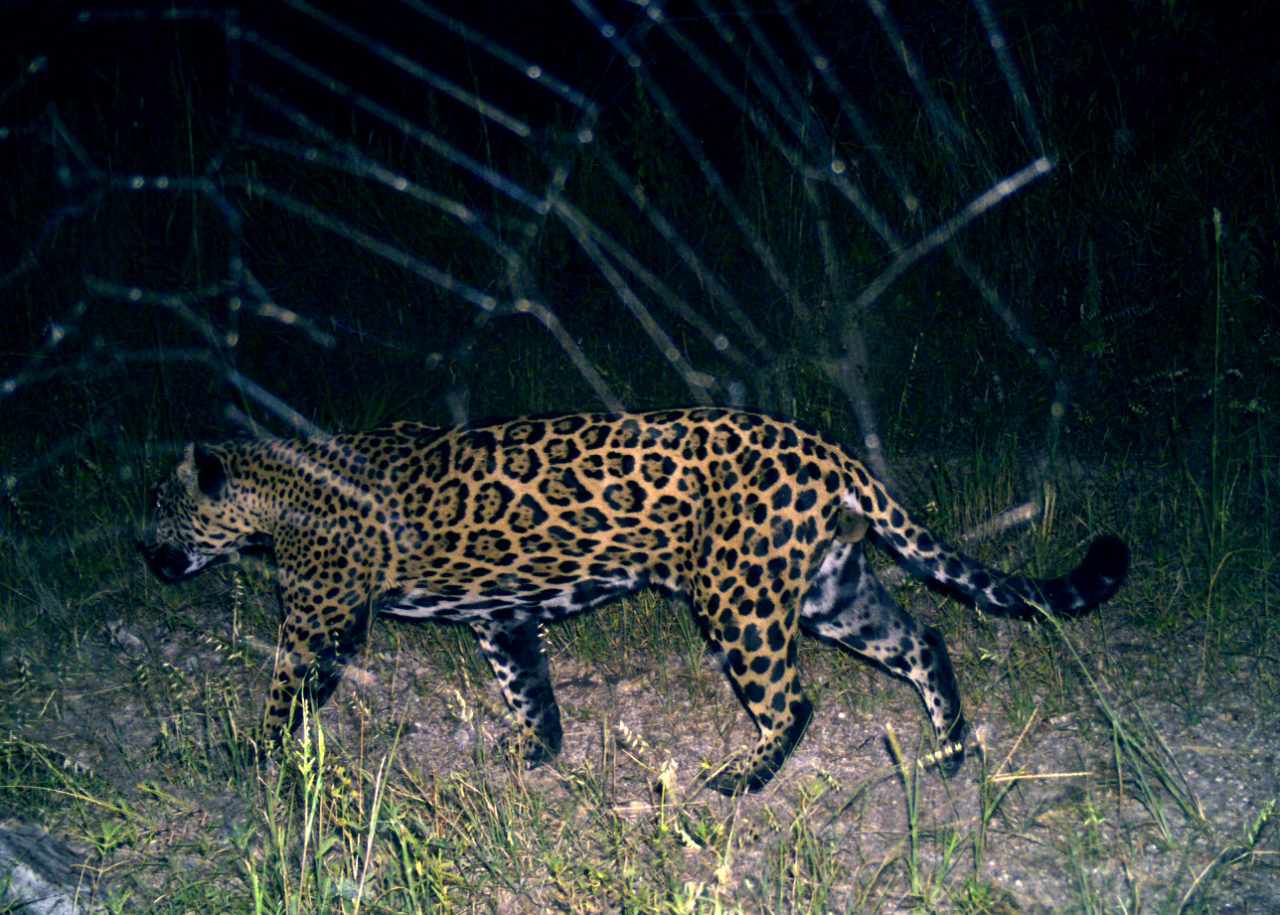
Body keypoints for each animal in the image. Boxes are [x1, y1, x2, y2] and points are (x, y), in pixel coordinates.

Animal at [140, 408, 1128, 794]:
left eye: (160, 509)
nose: (144, 554)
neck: (272, 496)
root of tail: (823, 445)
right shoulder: (504, 616)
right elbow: (529, 689)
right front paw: (535, 753)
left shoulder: (318, 618)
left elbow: (281, 692)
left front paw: (242, 755)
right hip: (828, 588)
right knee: (924, 637)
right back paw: (953, 753)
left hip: (739, 598)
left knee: (795, 699)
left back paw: (741, 777)